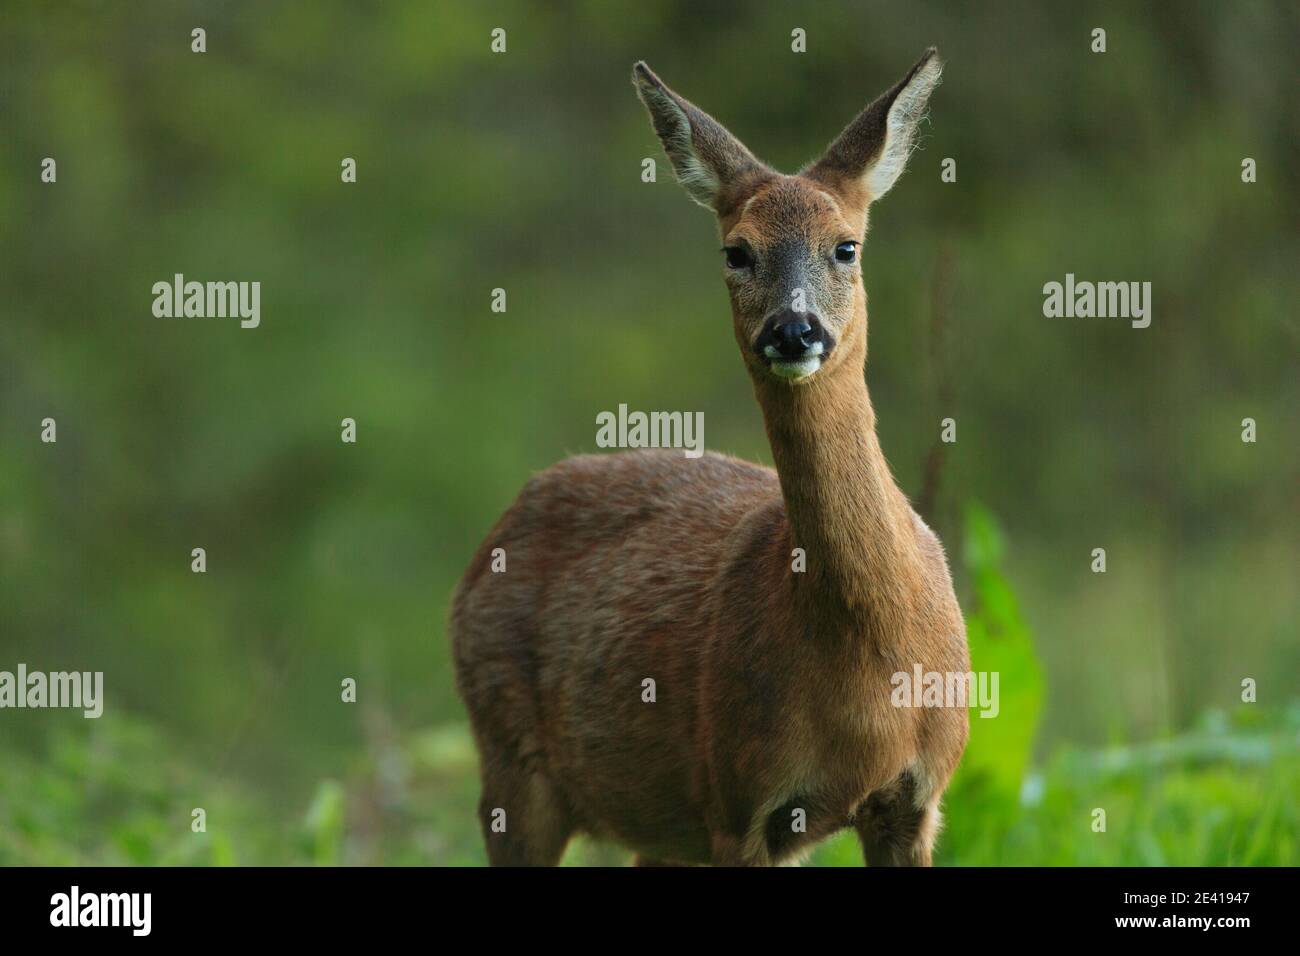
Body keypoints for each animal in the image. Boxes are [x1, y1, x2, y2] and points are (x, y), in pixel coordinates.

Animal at [451, 48, 969, 866]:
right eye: (737, 251)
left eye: (846, 246)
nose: (793, 330)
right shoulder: (738, 797)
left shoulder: (917, 799)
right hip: (511, 760)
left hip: (659, 829)